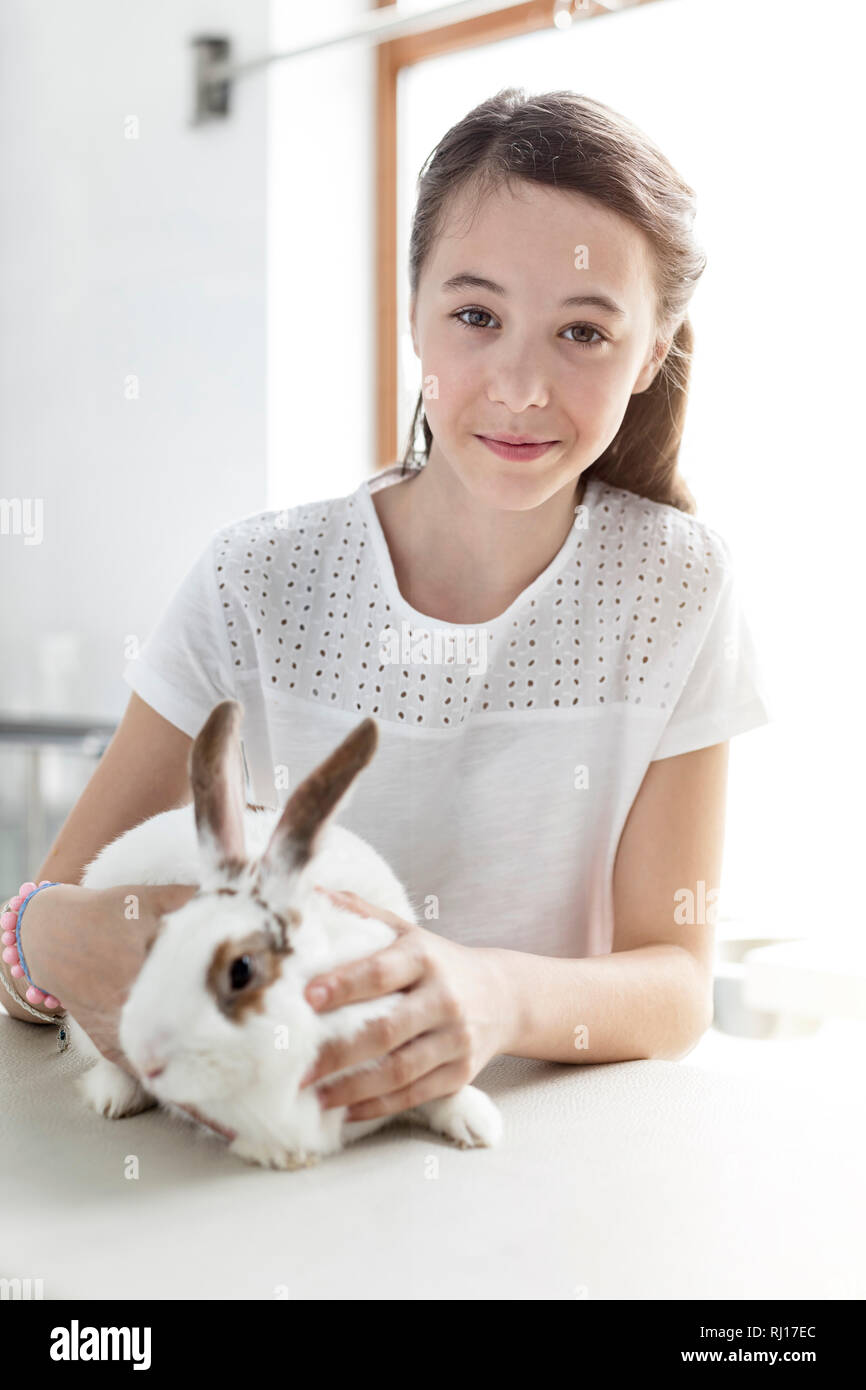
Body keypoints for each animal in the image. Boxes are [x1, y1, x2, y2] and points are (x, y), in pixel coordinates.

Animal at [69, 699, 503, 1169]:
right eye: (151, 946)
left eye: (241, 970)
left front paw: (479, 1125)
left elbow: (438, 1091)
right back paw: (114, 1095)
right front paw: (278, 1154)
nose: (147, 1057)